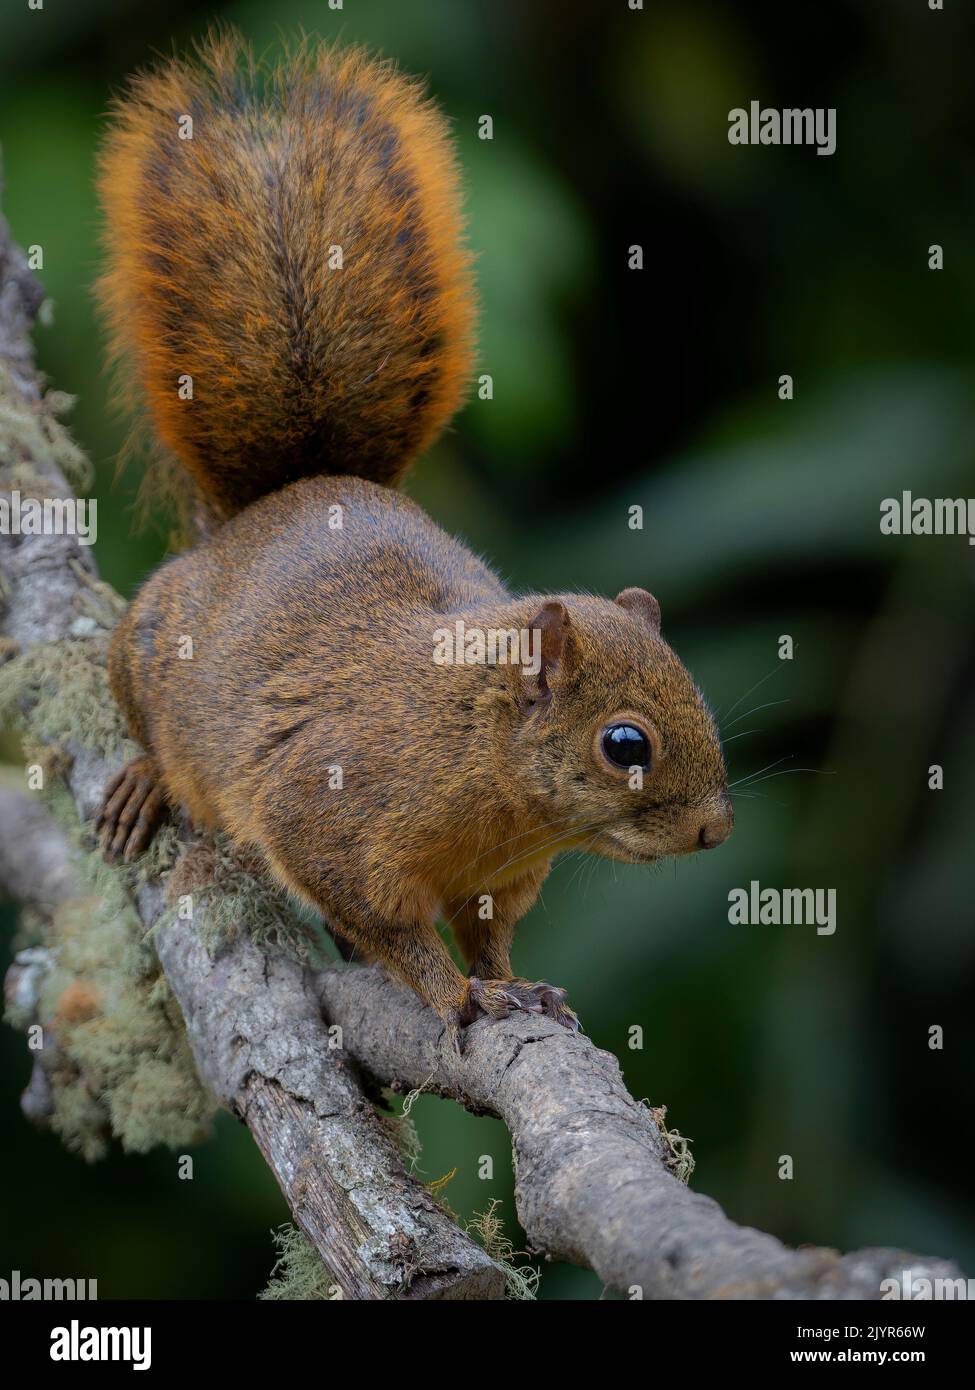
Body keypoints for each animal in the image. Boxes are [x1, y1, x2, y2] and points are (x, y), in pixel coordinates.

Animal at [94, 32, 733, 1047]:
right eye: (624, 745)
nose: (714, 831)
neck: (476, 753)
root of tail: (280, 500)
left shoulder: (500, 878)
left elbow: (488, 934)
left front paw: (515, 983)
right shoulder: (327, 811)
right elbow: (389, 931)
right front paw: (456, 996)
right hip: (147, 642)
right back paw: (146, 784)